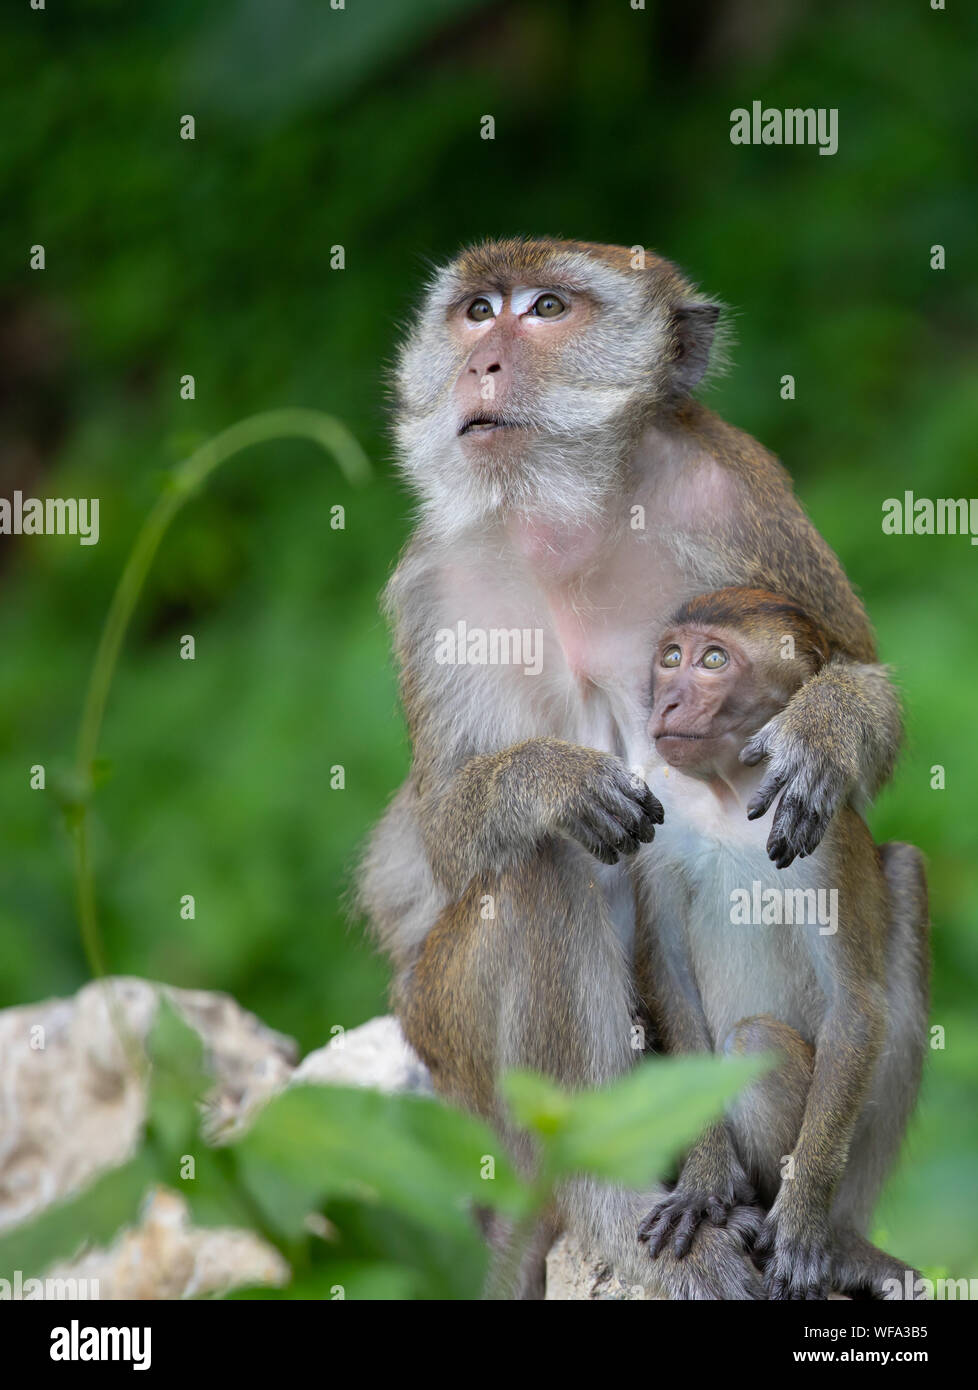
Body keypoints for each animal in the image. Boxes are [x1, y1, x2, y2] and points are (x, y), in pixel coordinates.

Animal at [632, 587, 929, 1299]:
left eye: (713, 660)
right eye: (671, 657)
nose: (667, 702)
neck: (726, 795)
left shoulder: (828, 843)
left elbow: (856, 1006)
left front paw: (800, 1222)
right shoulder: (662, 821)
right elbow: (669, 978)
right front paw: (702, 1181)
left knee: (757, 1041)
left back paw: (831, 1234)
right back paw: (736, 1196)